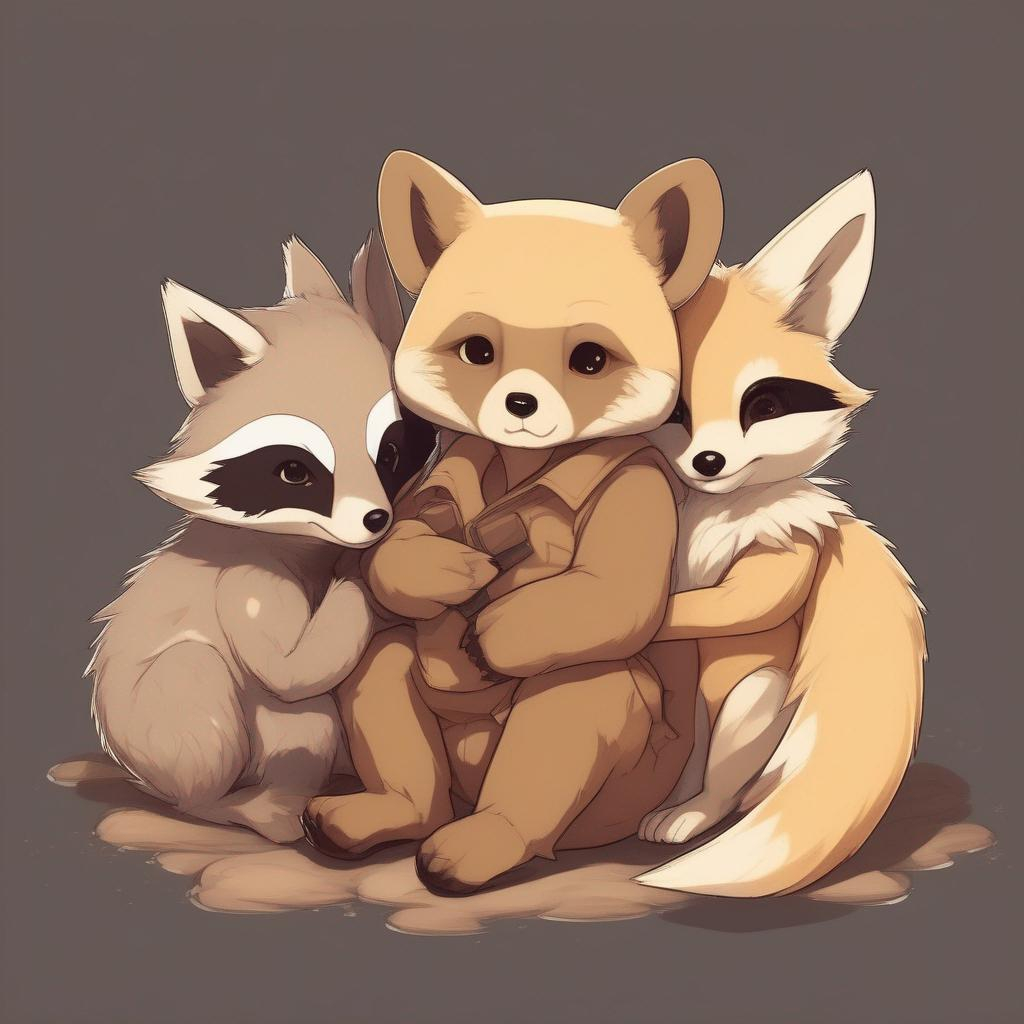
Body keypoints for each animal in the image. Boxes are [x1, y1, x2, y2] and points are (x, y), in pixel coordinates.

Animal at [88, 233, 437, 842]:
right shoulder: (245, 582)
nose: (377, 521)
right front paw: (355, 577)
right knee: (230, 692)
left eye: (391, 454)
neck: (298, 541)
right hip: (173, 727)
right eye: (295, 472)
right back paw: (239, 806)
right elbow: (292, 671)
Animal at [302, 151, 723, 895]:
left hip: (620, 784)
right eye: (477, 349)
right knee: (386, 661)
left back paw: (482, 843)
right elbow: (394, 551)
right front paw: (442, 570)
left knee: (579, 692)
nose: (520, 402)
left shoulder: (639, 490)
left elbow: (617, 596)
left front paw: (492, 630)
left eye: (590, 358)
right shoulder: (442, 474)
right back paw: (385, 814)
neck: (527, 466)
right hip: (441, 749)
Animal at [635, 170, 926, 897]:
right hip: (697, 709)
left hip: (751, 699)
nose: (709, 463)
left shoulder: (785, 546)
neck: (712, 516)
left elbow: (742, 602)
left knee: (728, 791)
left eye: (761, 406)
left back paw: (695, 817)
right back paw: (670, 810)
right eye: (675, 411)